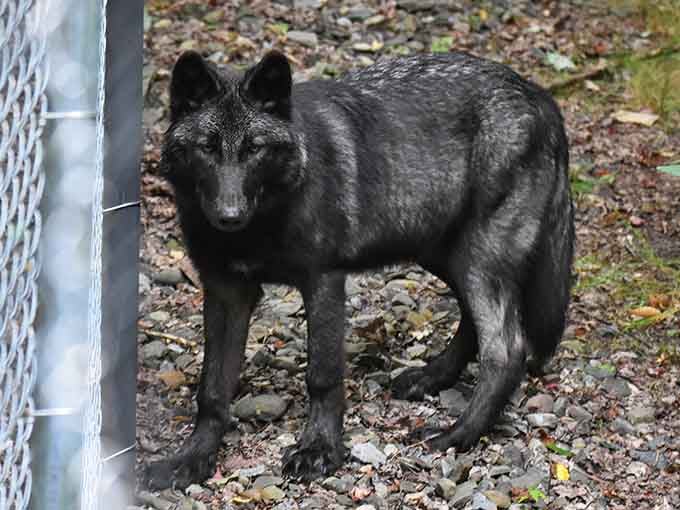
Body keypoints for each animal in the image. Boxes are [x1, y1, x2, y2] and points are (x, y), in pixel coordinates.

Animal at [144, 49, 574, 489]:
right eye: (207, 148)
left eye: (254, 149)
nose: (229, 215)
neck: (265, 221)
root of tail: (538, 94)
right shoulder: (226, 292)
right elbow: (212, 389)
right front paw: (193, 457)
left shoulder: (324, 282)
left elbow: (322, 376)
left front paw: (318, 449)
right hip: (443, 254)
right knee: (475, 324)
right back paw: (432, 378)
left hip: (478, 259)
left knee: (506, 348)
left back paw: (458, 434)